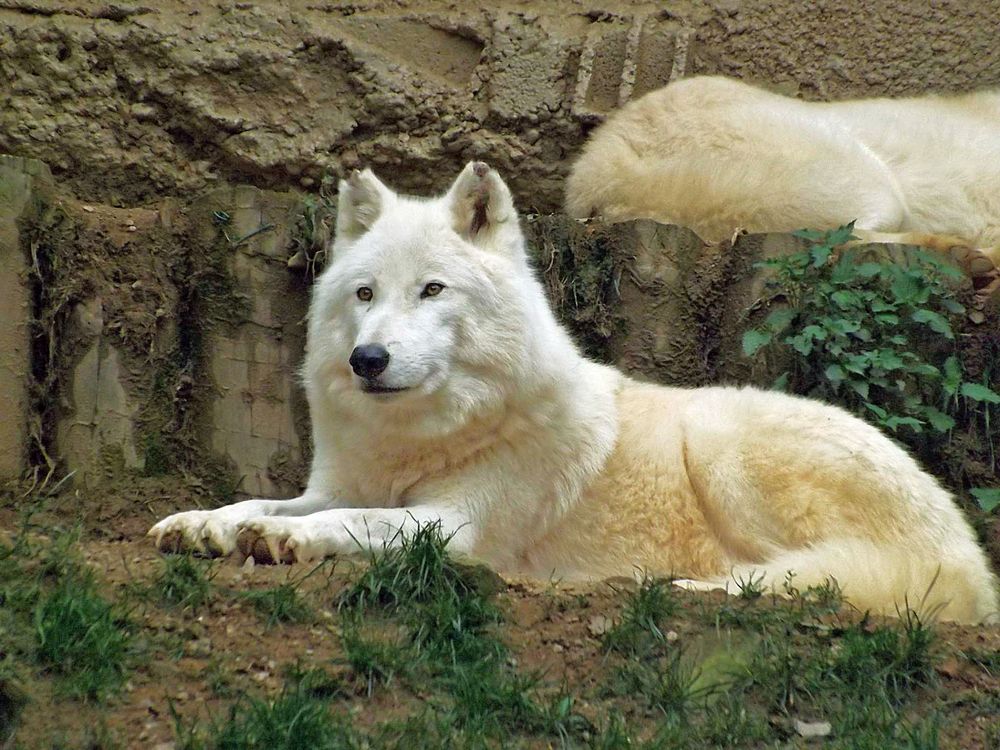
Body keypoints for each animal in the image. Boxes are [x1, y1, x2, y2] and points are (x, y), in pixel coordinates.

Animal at [149, 162, 999, 623]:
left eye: (432, 290)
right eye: (364, 294)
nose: (368, 359)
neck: (429, 438)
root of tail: (970, 559)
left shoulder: (452, 528)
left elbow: (353, 523)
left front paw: (280, 541)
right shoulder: (338, 484)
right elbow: (265, 500)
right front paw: (203, 523)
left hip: (719, 435)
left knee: (795, 583)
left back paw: (686, 584)